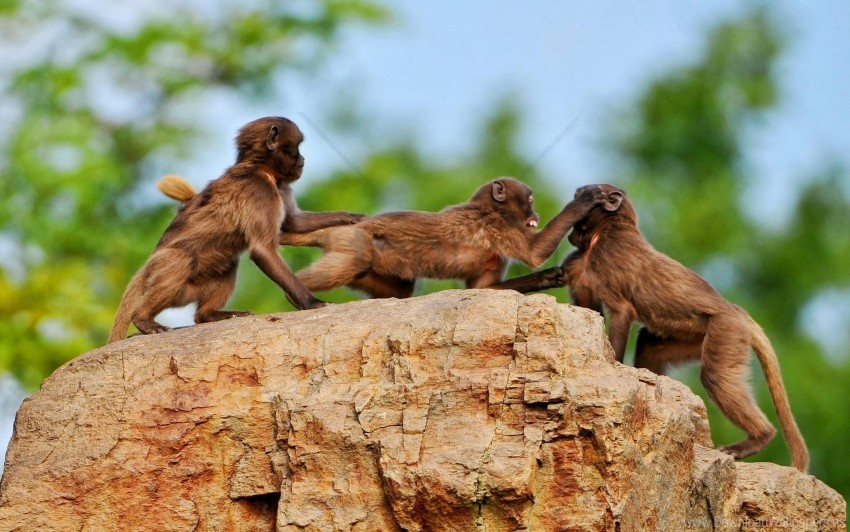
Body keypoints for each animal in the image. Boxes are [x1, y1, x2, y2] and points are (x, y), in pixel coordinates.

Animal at [109, 116, 348, 343]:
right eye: (297, 147)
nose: (303, 160)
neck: (260, 168)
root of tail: (146, 271)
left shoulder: (280, 188)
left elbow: (294, 223)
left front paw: (351, 218)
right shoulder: (260, 190)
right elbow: (262, 249)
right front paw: (313, 303)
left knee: (227, 267)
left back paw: (209, 315)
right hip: (171, 282)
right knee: (180, 259)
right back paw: (143, 319)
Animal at [538, 184, 809, 471]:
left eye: (580, 195)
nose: (572, 230)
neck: (610, 229)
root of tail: (736, 310)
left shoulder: (607, 256)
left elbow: (622, 311)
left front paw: (616, 366)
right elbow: (591, 311)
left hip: (726, 329)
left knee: (715, 376)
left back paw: (758, 438)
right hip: (697, 334)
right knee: (650, 344)